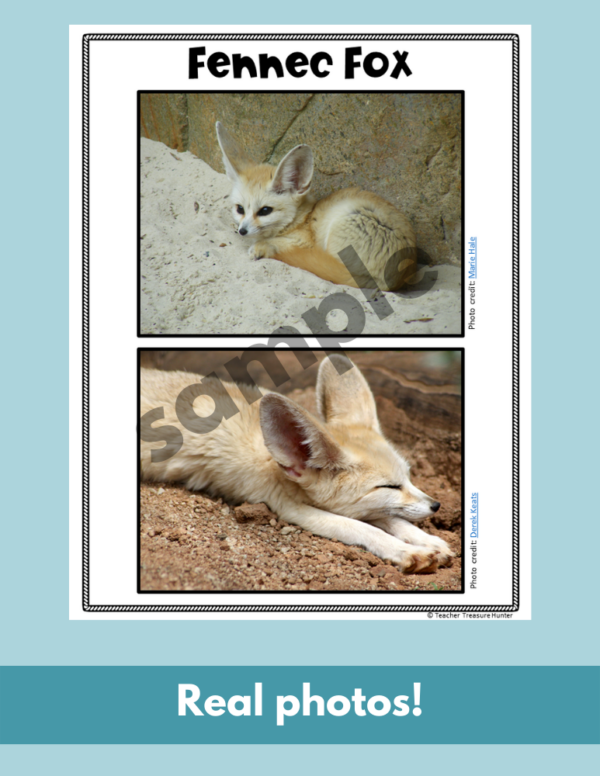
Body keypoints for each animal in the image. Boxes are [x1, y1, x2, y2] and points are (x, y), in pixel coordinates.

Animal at [140, 354, 453, 573]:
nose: (436, 505)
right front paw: (408, 552)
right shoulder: (287, 507)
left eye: (409, 477)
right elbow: (362, 527)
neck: (274, 460)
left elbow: (389, 517)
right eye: (389, 486)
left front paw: (427, 540)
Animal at [215, 121, 418, 291]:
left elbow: (276, 243)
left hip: (344, 221)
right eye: (240, 209)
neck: (301, 219)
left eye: (265, 211)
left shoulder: (303, 242)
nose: (242, 231)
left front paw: (262, 246)